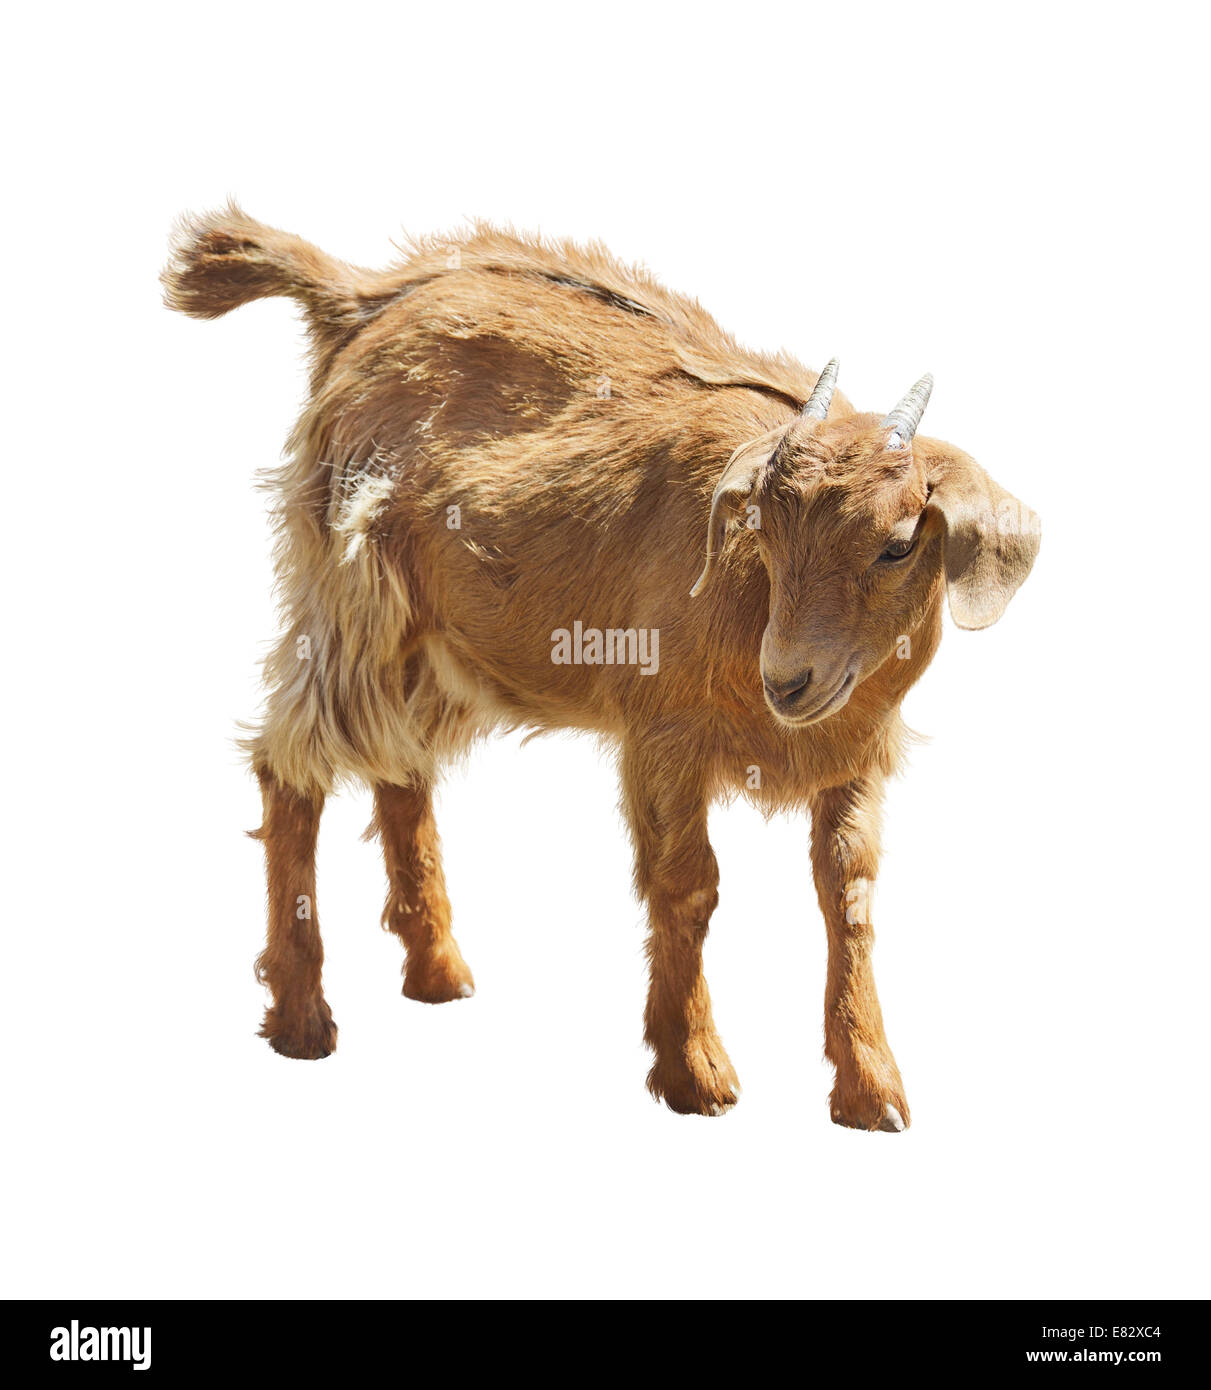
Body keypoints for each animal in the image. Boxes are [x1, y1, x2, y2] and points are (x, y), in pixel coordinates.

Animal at [163, 204, 1040, 1128]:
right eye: (761, 524)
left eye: (899, 545)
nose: (788, 680)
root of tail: (362, 298)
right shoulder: (662, 733)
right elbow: (688, 885)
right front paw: (695, 1074)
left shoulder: (853, 756)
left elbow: (849, 893)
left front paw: (871, 1090)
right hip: (349, 597)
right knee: (290, 766)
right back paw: (303, 1019)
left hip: (443, 642)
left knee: (400, 766)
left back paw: (437, 972)